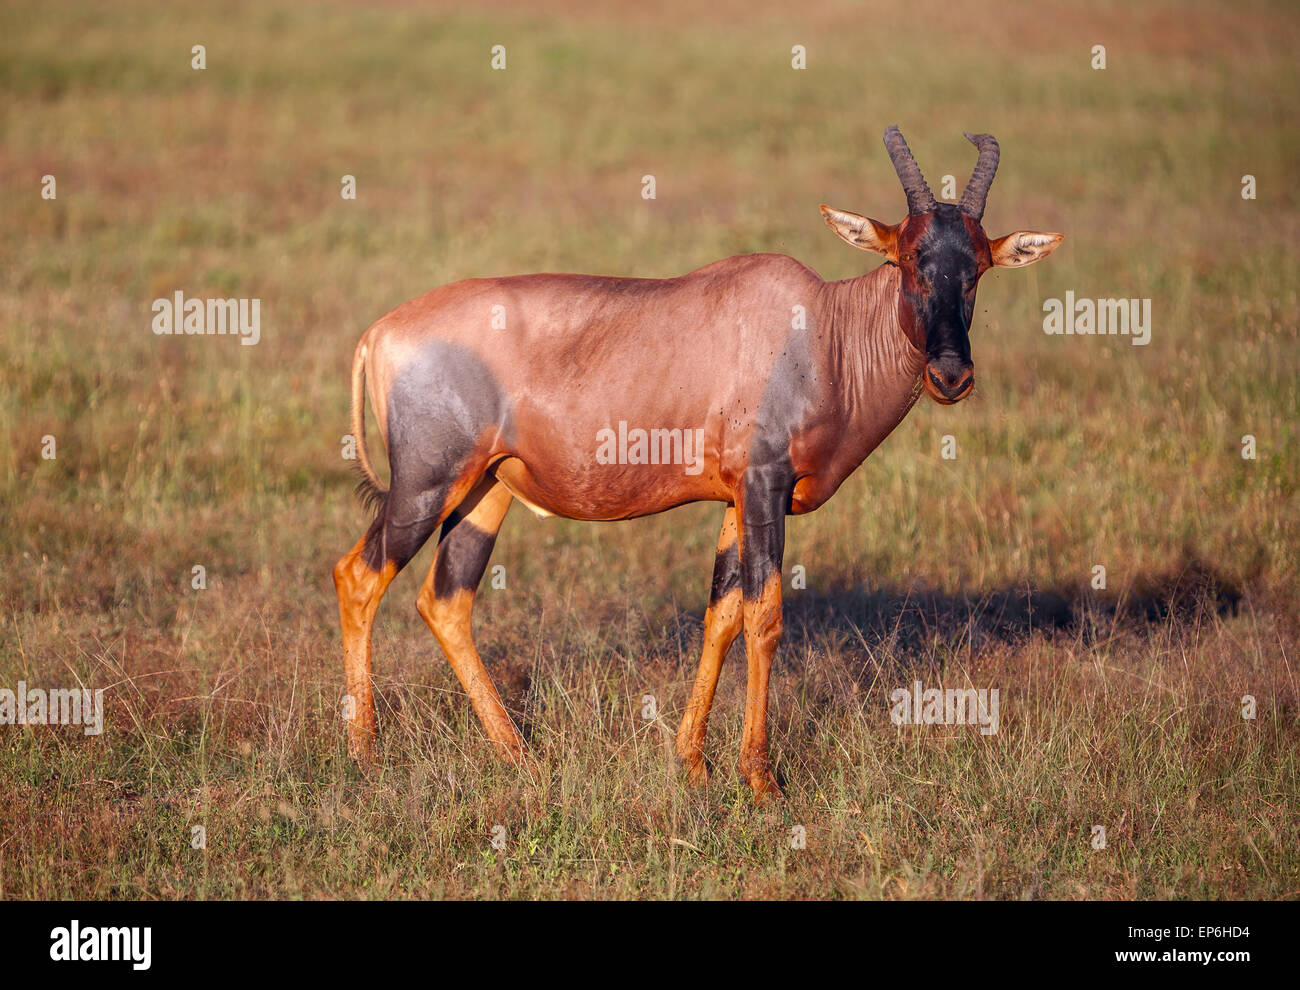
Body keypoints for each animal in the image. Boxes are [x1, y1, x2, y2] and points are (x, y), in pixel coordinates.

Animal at [334, 127, 1063, 802]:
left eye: (979, 265)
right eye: (910, 257)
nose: (951, 375)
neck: (818, 330)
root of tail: (381, 331)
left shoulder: (739, 498)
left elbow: (723, 614)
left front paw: (692, 763)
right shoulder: (765, 485)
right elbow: (765, 616)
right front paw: (761, 780)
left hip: (483, 490)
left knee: (445, 600)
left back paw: (519, 757)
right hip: (425, 484)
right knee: (359, 576)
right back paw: (366, 755)